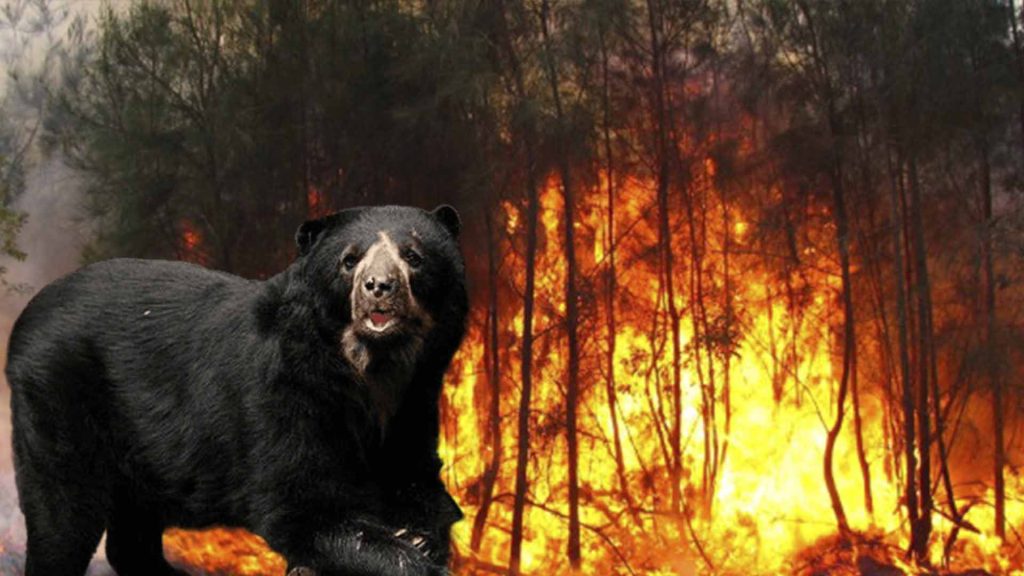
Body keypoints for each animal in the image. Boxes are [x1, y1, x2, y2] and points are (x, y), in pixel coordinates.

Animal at [5, 205, 468, 576]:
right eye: (349, 261)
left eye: (414, 257)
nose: (379, 287)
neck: (369, 370)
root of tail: (29, 314)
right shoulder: (283, 400)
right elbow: (303, 508)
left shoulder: (415, 402)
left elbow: (420, 482)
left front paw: (420, 533)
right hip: (59, 401)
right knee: (62, 516)